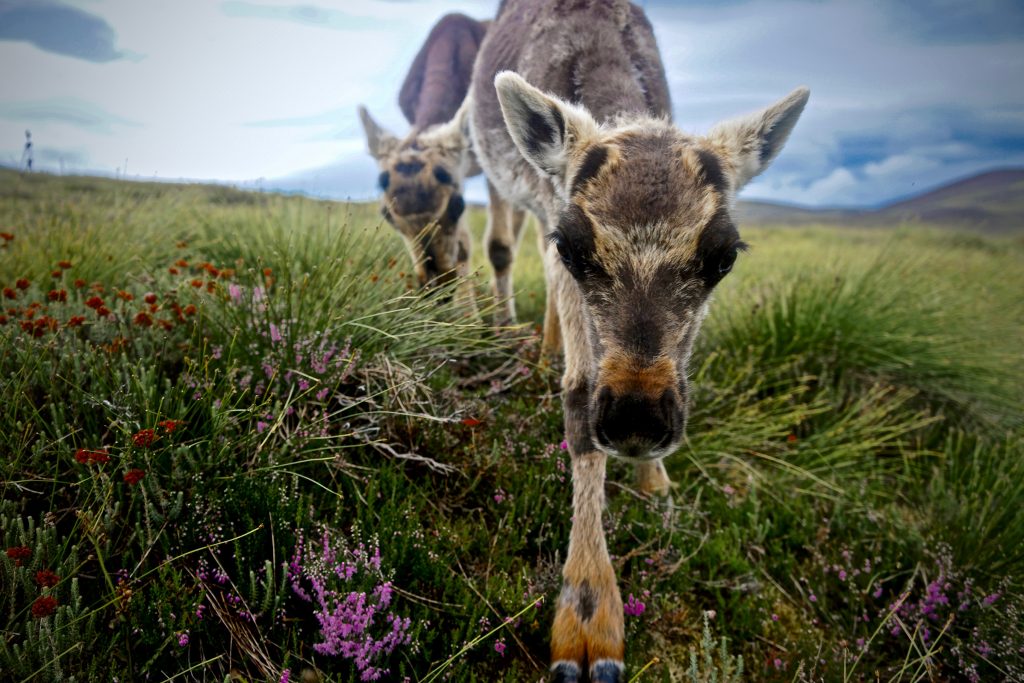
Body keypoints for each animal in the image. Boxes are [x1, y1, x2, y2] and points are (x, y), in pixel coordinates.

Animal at [467, 1, 809, 680]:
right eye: (575, 247)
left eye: (724, 255)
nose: (634, 420)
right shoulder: (553, 213)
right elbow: (577, 397)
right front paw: (587, 620)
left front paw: (657, 489)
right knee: (505, 239)